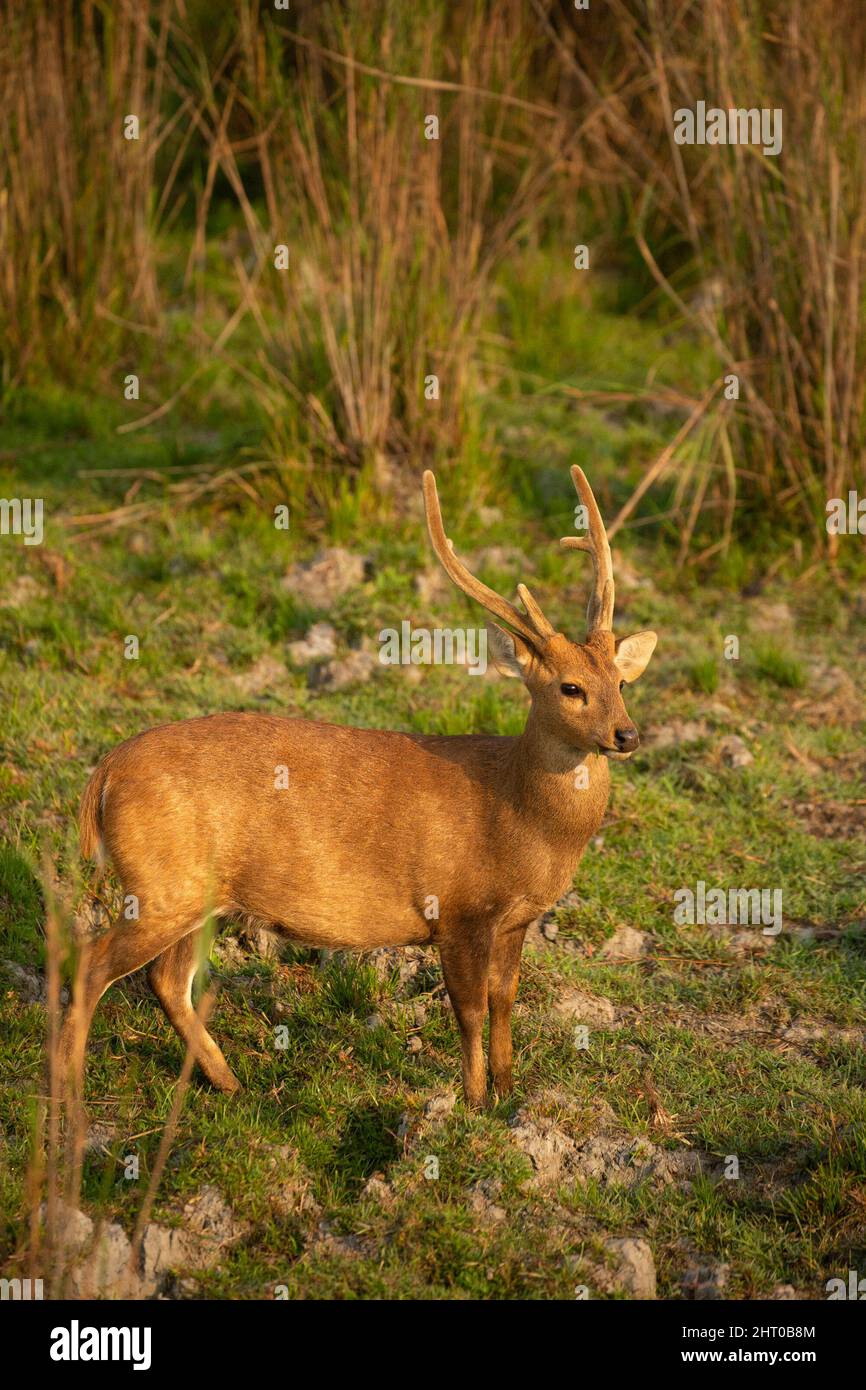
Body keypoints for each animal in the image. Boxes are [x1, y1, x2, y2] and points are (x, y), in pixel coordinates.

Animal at [59, 465, 656, 1109]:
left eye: (622, 681)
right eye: (570, 687)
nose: (626, 734)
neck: (517, 815)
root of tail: (104, 773)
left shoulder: (516, 919)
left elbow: (504, 1003)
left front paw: (508, 1092)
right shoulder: (458, 907)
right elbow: (469, 1010)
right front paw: (472, 1104)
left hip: (194, 893)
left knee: (166, 980)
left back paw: (230, 1082)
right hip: (160, 883)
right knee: (92, 966)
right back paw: (67, 1092)